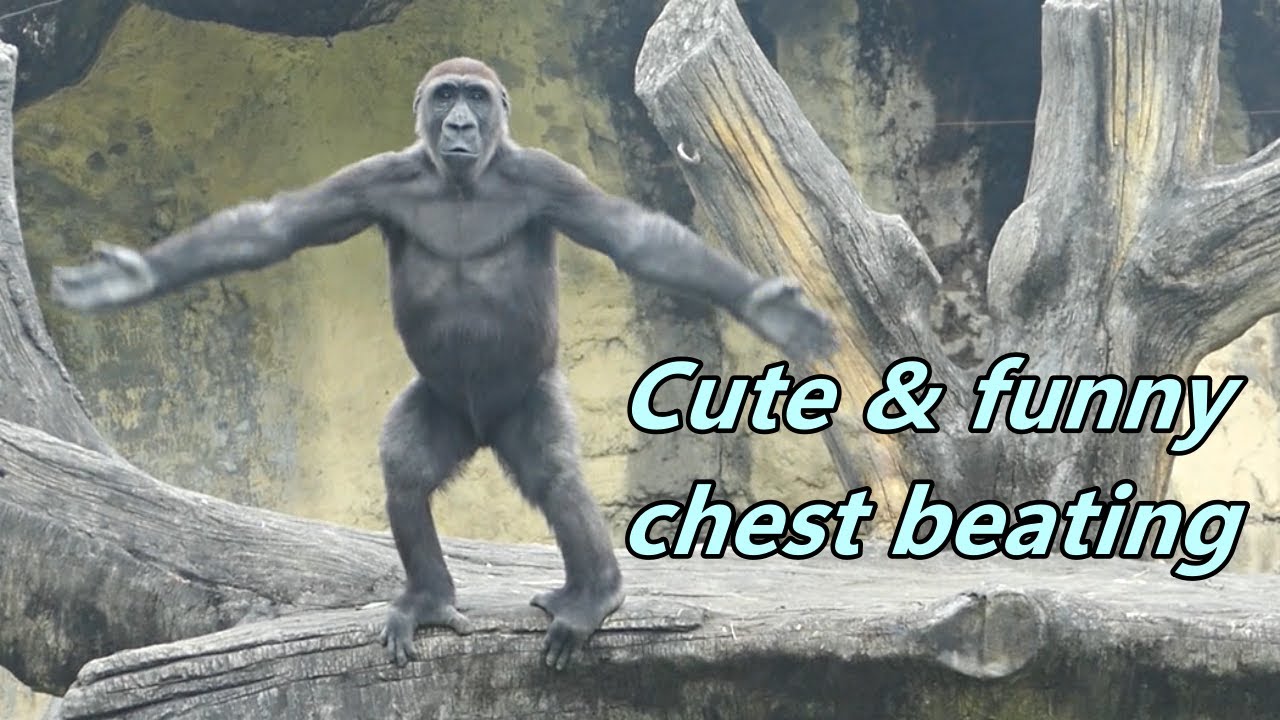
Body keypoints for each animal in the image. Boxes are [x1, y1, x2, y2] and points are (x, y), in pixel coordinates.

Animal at [50, 57, 838, 671]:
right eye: (445, 97)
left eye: (478, 99)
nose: (459, 126)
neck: (463, 178)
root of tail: (482, 428)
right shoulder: (370, 180)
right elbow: (272, 230)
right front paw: (132, 279)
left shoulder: (549, 178)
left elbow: (637, 241)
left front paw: (767, 309)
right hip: (443, 407)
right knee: (406, 473)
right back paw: (431, 599)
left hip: (526, 397)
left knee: (555, 477)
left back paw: (595, 594)